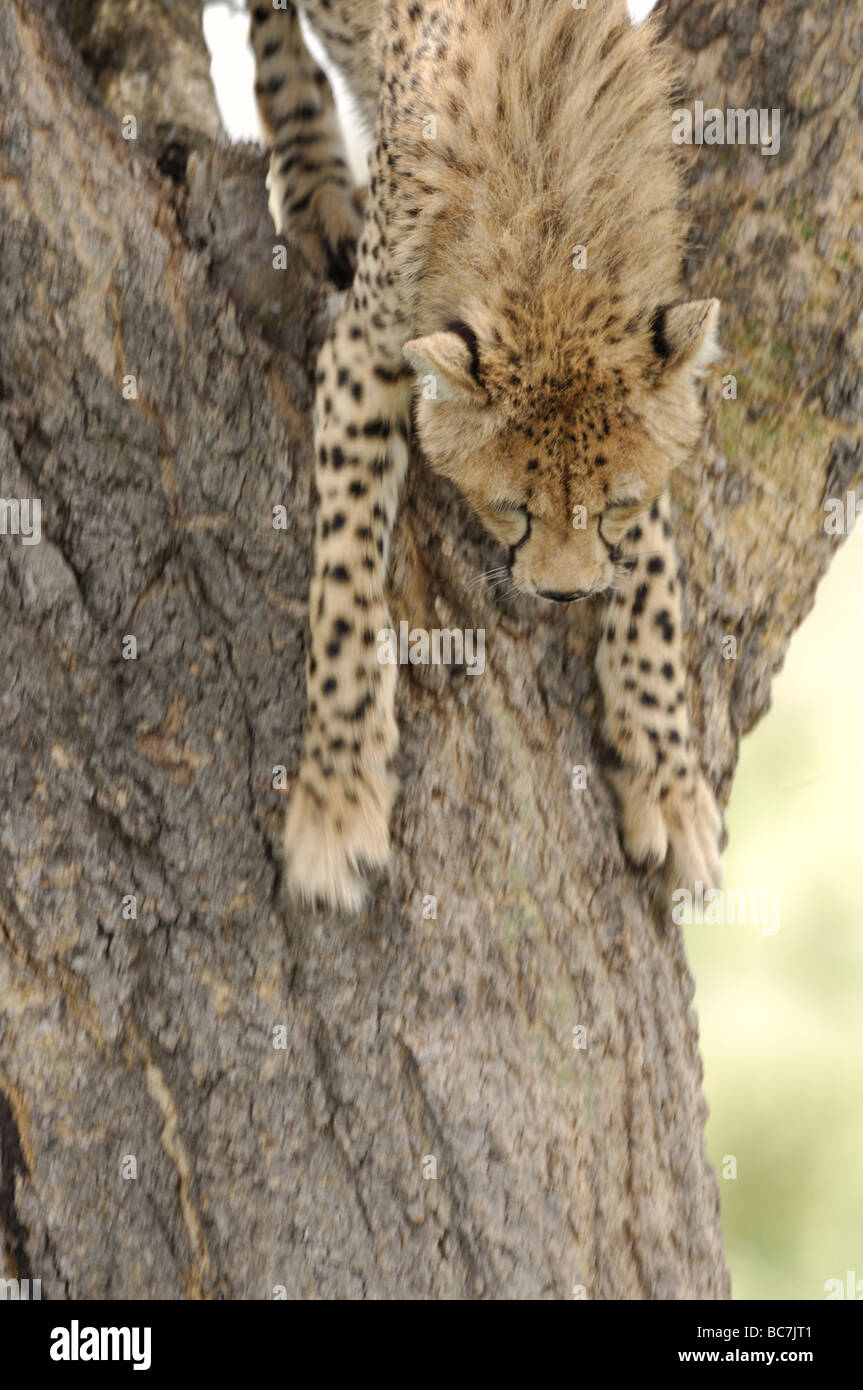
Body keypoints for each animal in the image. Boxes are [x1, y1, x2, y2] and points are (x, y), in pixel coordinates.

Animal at [246, 0, 724, 911]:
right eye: (509, 507)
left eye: (614, 502)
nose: (564, 594)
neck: (550, 222)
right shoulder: (365, 352)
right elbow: (345, 591)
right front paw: (337, 798)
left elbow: (651, 592)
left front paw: (667, 784)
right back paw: (311, 178)